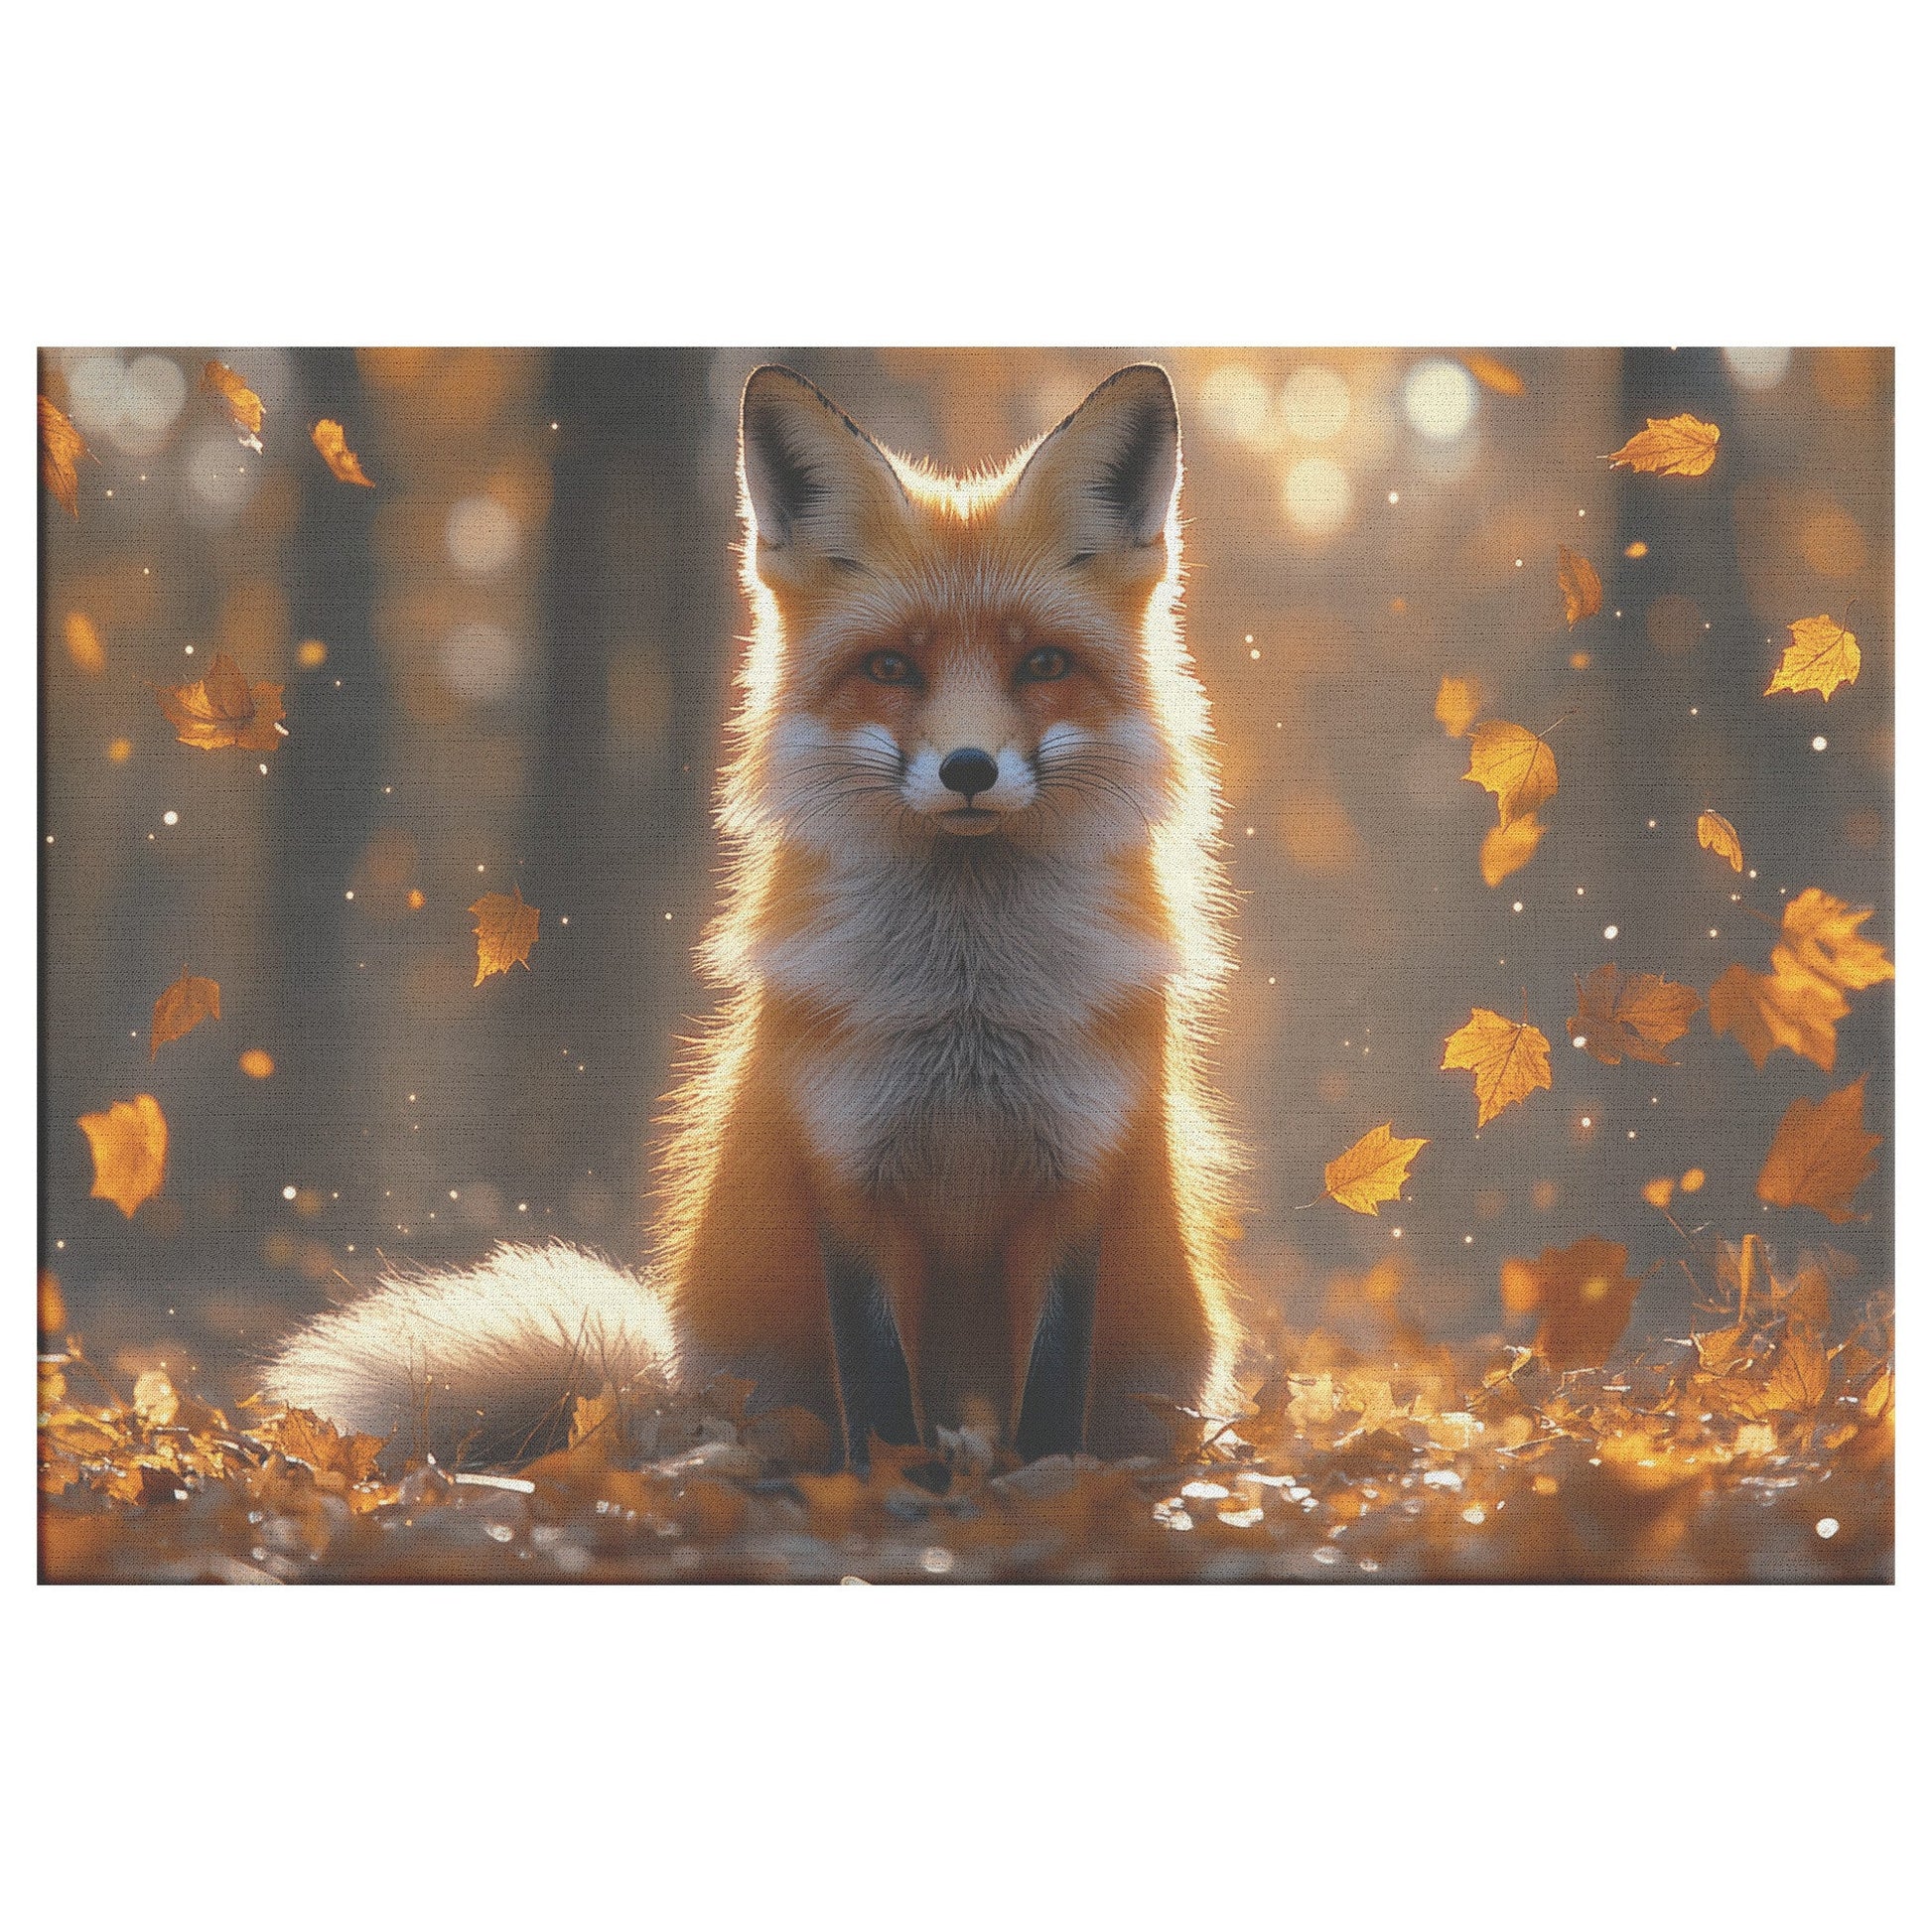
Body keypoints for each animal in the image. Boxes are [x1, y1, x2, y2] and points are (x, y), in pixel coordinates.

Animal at [261, 362, 1245, 1466]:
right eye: (890, 667)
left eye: (1041, 664)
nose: (967, 768)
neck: (966, 1004)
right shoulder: (846, 1174)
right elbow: (876, 1392)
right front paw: (885, 1487)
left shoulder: (1077, 1176)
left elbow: (1048, 1398)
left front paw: (1051, 1488)